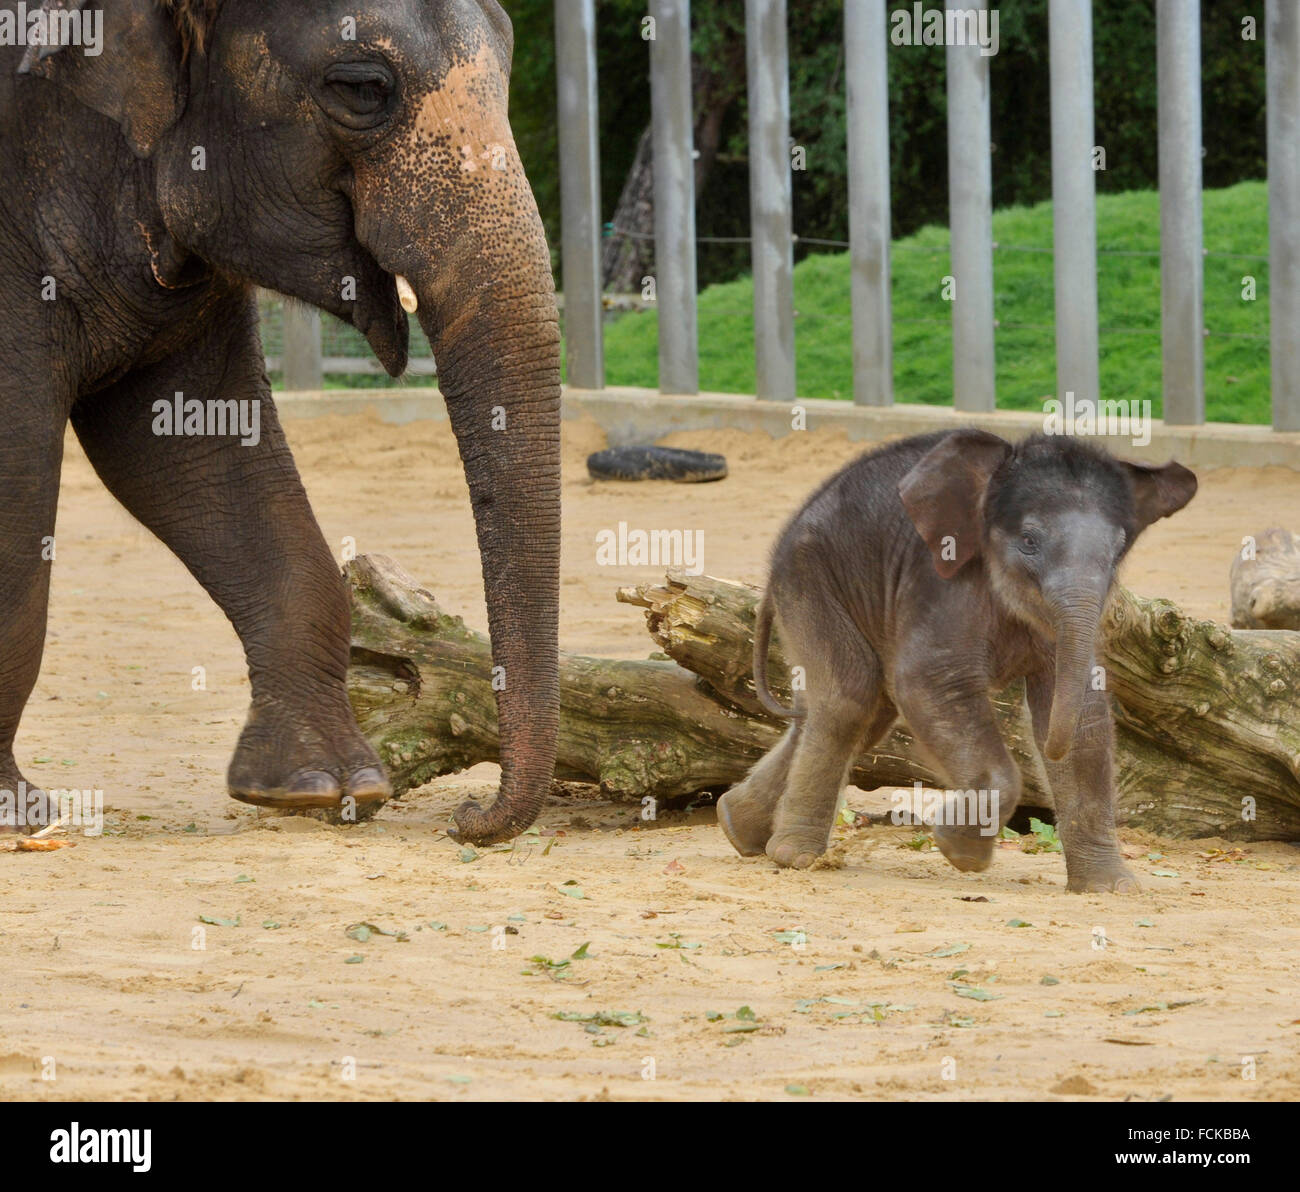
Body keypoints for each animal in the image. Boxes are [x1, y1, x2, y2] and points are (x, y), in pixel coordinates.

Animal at [716, 429, 1197, 893]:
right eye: (1029, 541)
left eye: (1118, 551)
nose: (1046, 748)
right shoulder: (941, 579)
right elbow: (930, 683)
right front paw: (962, 854)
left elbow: (1088, 718)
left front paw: (1112, 889)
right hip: (810, 577)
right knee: (848, 699)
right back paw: (793, 857)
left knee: (855, 713)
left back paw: (738, 827)